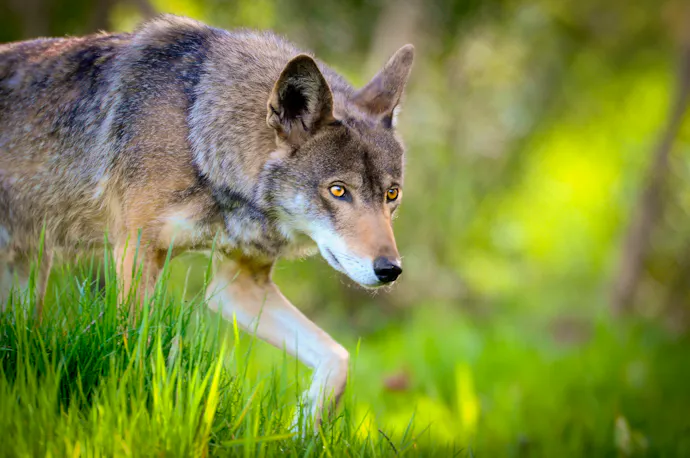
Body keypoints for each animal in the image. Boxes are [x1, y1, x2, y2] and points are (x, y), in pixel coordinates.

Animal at [0, 14, 413, 427]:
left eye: (391, 195)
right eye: (339, 190)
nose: (390, 270)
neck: (195, 131)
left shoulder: (236, 285)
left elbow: (338, 359)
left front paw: (302, 426)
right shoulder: (135, 251)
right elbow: (136, 350)